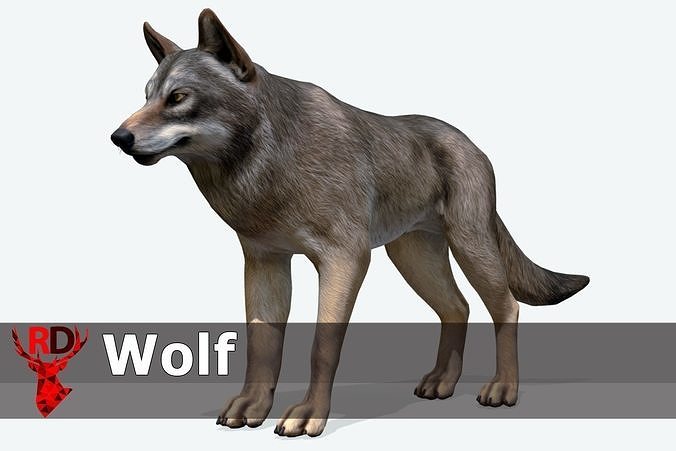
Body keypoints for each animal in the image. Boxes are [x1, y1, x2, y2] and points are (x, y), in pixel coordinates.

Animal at [111, 9, 589, 437]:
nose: (118, 137)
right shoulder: (265, 262)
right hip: (413, 258)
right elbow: (262, 347)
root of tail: (472, 144)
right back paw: (442, 382)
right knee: (458, 308)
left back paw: (503, 388)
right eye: (147, 94)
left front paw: (309, 415)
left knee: (505, 306)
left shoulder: (344, 260)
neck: (268, 159)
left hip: (470, 248)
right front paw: (253, 406)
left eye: (178, 98)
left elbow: (322, 347)